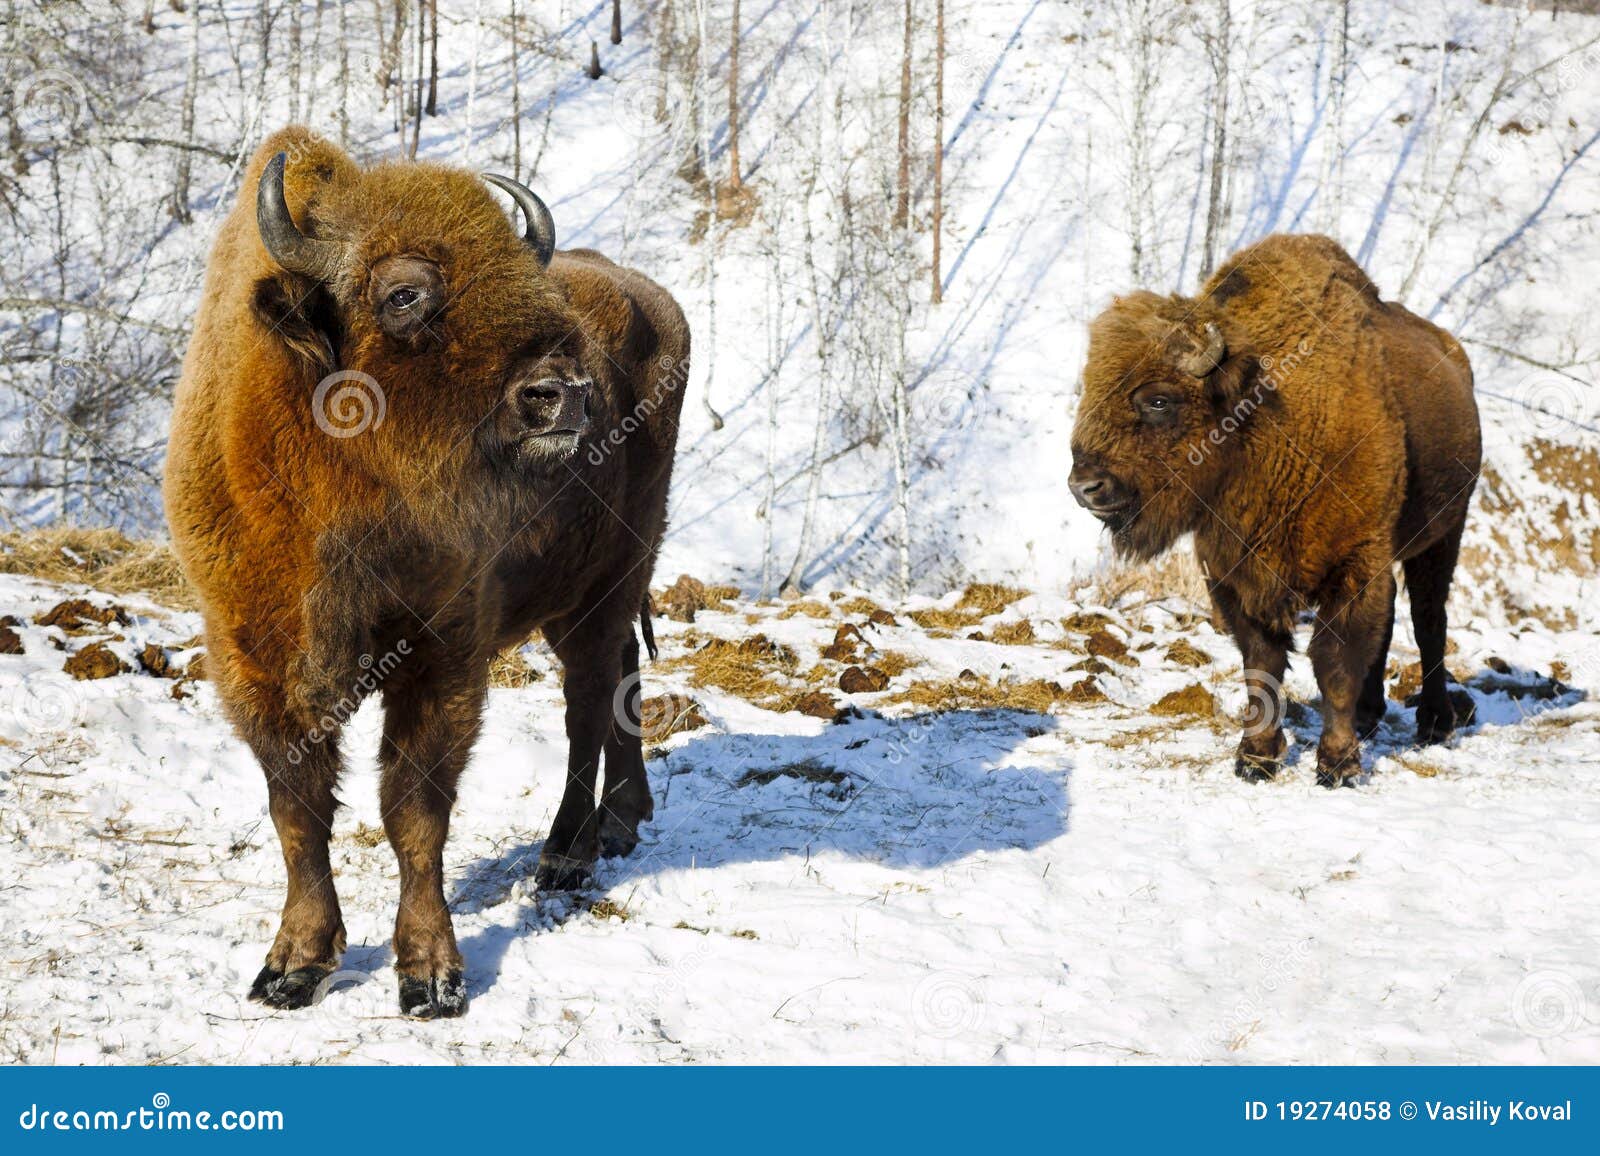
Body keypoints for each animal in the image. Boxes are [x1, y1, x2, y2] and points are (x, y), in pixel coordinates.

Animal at [164, 127, 689, 1017]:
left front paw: (431, 976)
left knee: (587, 705)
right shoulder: (251, 660)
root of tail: (654, 299)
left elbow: (413, 808)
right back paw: (621, 824)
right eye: (404, 294)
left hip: (613, 578)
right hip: (592, 593)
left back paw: (565, 855)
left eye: (523, 279)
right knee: (619, 679)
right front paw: (293, 966)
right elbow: (297, 810)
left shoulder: (443, 651)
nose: (564, 395)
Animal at [1069, 233, 1481, 787]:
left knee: (1428, 617)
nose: (1085, 486)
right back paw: (1370, 715)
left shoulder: (1354, 563)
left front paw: (1338, 765)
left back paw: (1435, 722)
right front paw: (1255, 757)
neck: (1262, 421)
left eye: (1158, 400)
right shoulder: (1234, 573)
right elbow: (1261, 661)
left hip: (1443, 533)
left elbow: (1335, 662)